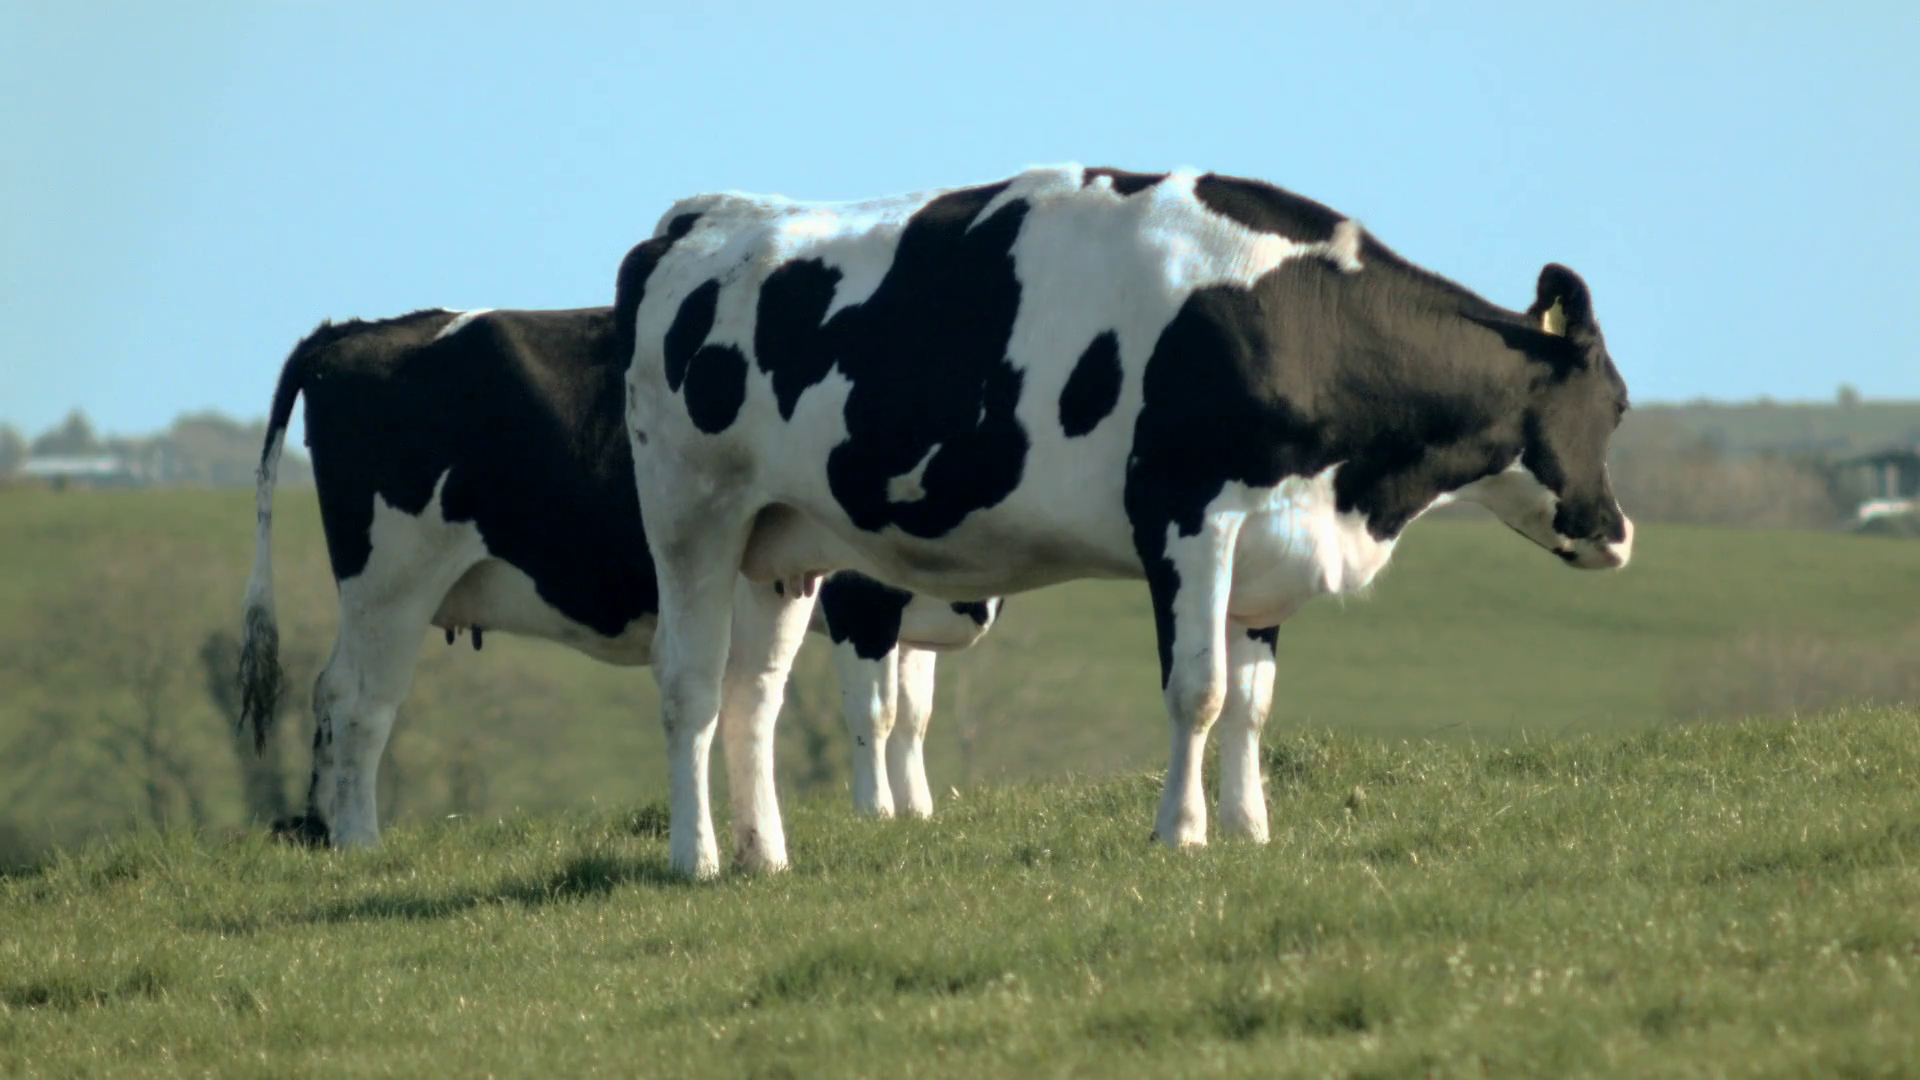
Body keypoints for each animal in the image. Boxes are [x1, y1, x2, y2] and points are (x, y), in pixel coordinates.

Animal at [235, 306, 1001, 855]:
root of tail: (352, 331)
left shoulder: (912, 612)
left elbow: (915, 715)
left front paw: (919, 812)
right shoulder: (858, 600)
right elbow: (875, 712)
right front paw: (877, 816)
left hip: (374, 596)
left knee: (327, 691)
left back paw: (323, 828)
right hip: (391, 579)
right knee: (361, 702)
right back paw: (360, 842)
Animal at [617, 165, 1635, 878]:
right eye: (1620, 405)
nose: (1619, 534)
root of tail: (707, 217)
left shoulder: (1266, 552)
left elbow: (1254, 702)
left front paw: (1249, 827)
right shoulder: (1189, 517)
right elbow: (1200, 690)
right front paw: (1181, 833)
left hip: (780, 543)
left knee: (753, 695)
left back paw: (764, 855)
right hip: (690, 513)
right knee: (690, 688)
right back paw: (695, 860)